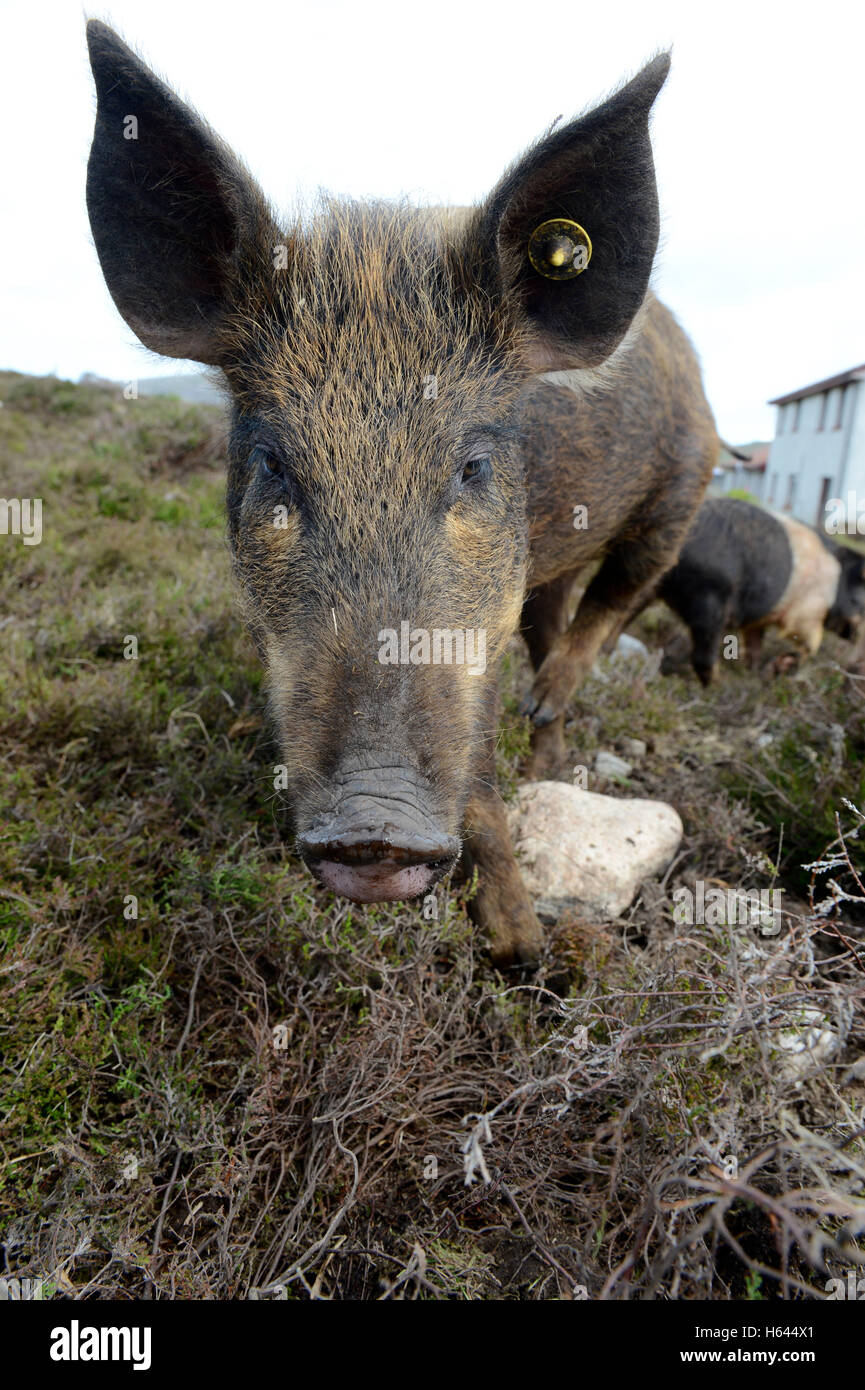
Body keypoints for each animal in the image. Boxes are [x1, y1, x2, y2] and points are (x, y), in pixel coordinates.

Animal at [85, 22, 717, 965]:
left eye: (473, 467)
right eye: (273, 463)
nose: (372, 828)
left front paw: (523, 956)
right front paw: (514, 943)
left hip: (682, 487)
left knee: (610, 607)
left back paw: (546, 718)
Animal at [645, 497, 861, 684]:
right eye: (860, 597)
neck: (837, 583)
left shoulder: (760, 620)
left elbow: (755, 644)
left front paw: (754, 673)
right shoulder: (806, 612)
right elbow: (811, 641)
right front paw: (775, 669)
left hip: (653, 583)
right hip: (710, 598)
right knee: (703, 655)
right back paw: (718, 685)